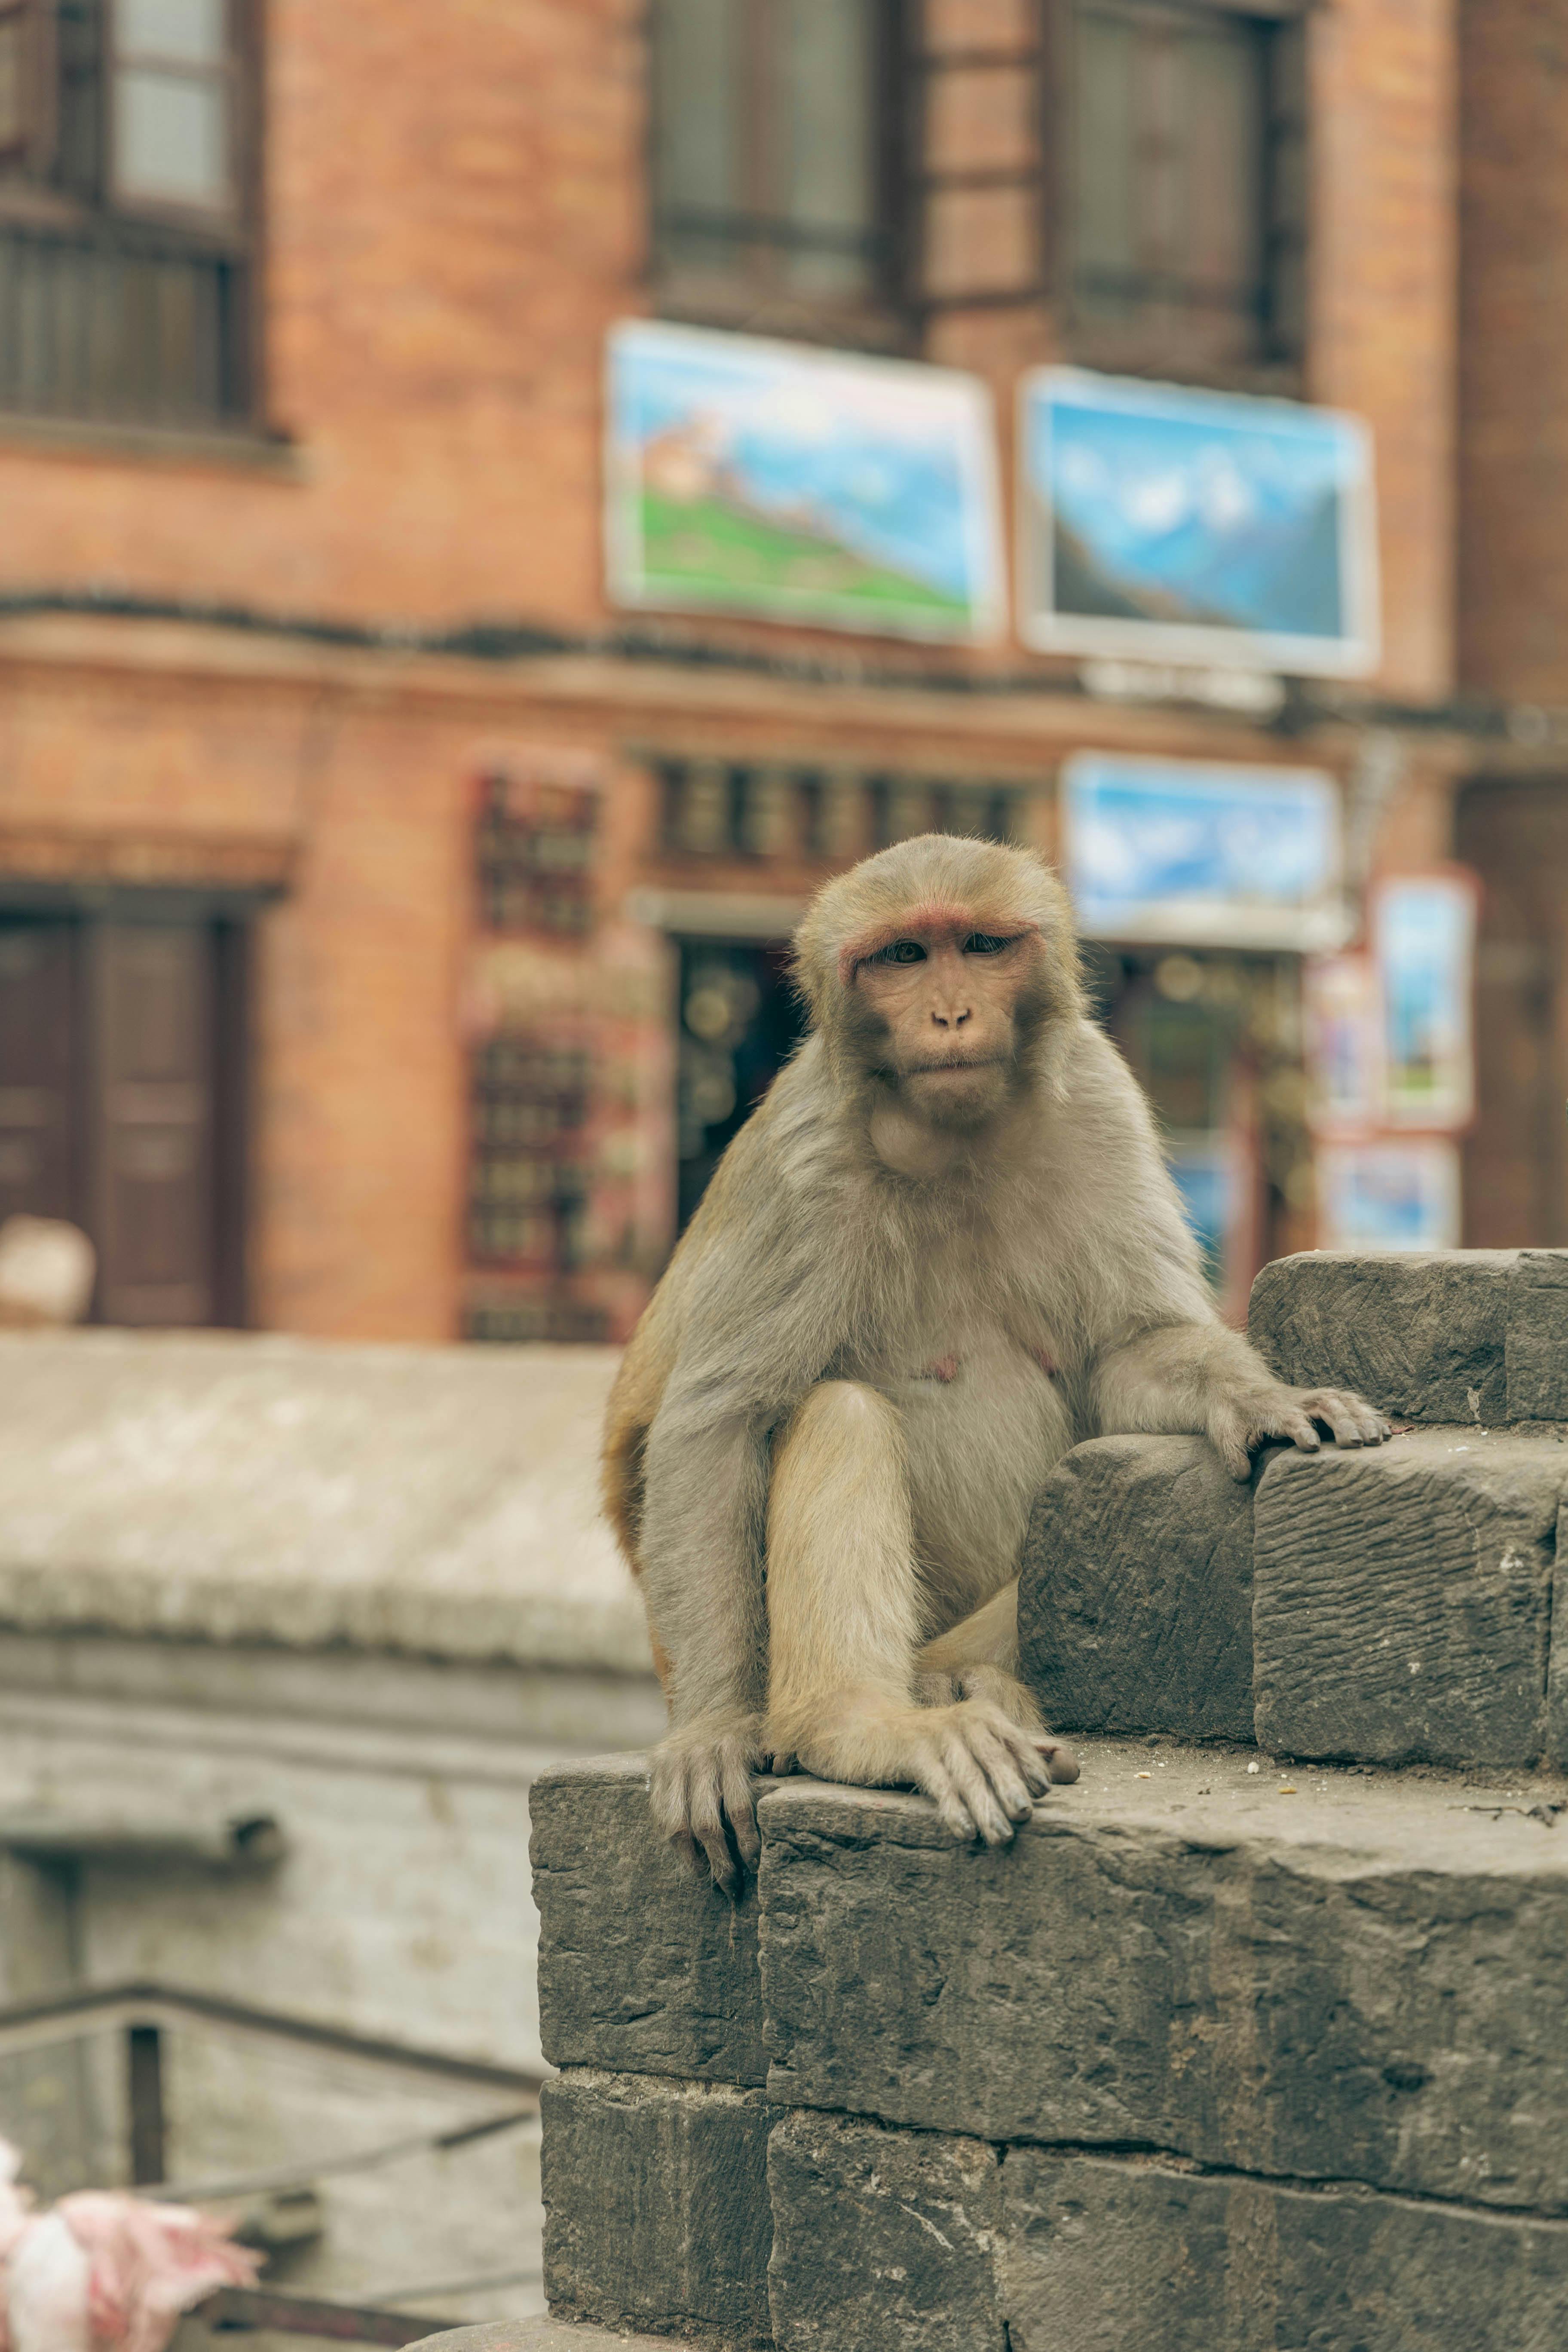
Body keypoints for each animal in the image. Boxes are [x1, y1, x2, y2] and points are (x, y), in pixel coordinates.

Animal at [603, 833, 1389, 1891]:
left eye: (977, 946)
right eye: (902, 957)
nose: (949, 1014)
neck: (953, 1144)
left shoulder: (1099, 1097)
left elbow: (1130, 1349)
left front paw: (1255, 1397)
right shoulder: (802, 1162)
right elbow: (715, 1428)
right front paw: (714, 1730)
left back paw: (965, 1684)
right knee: (839, 1413)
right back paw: (861, 1723)